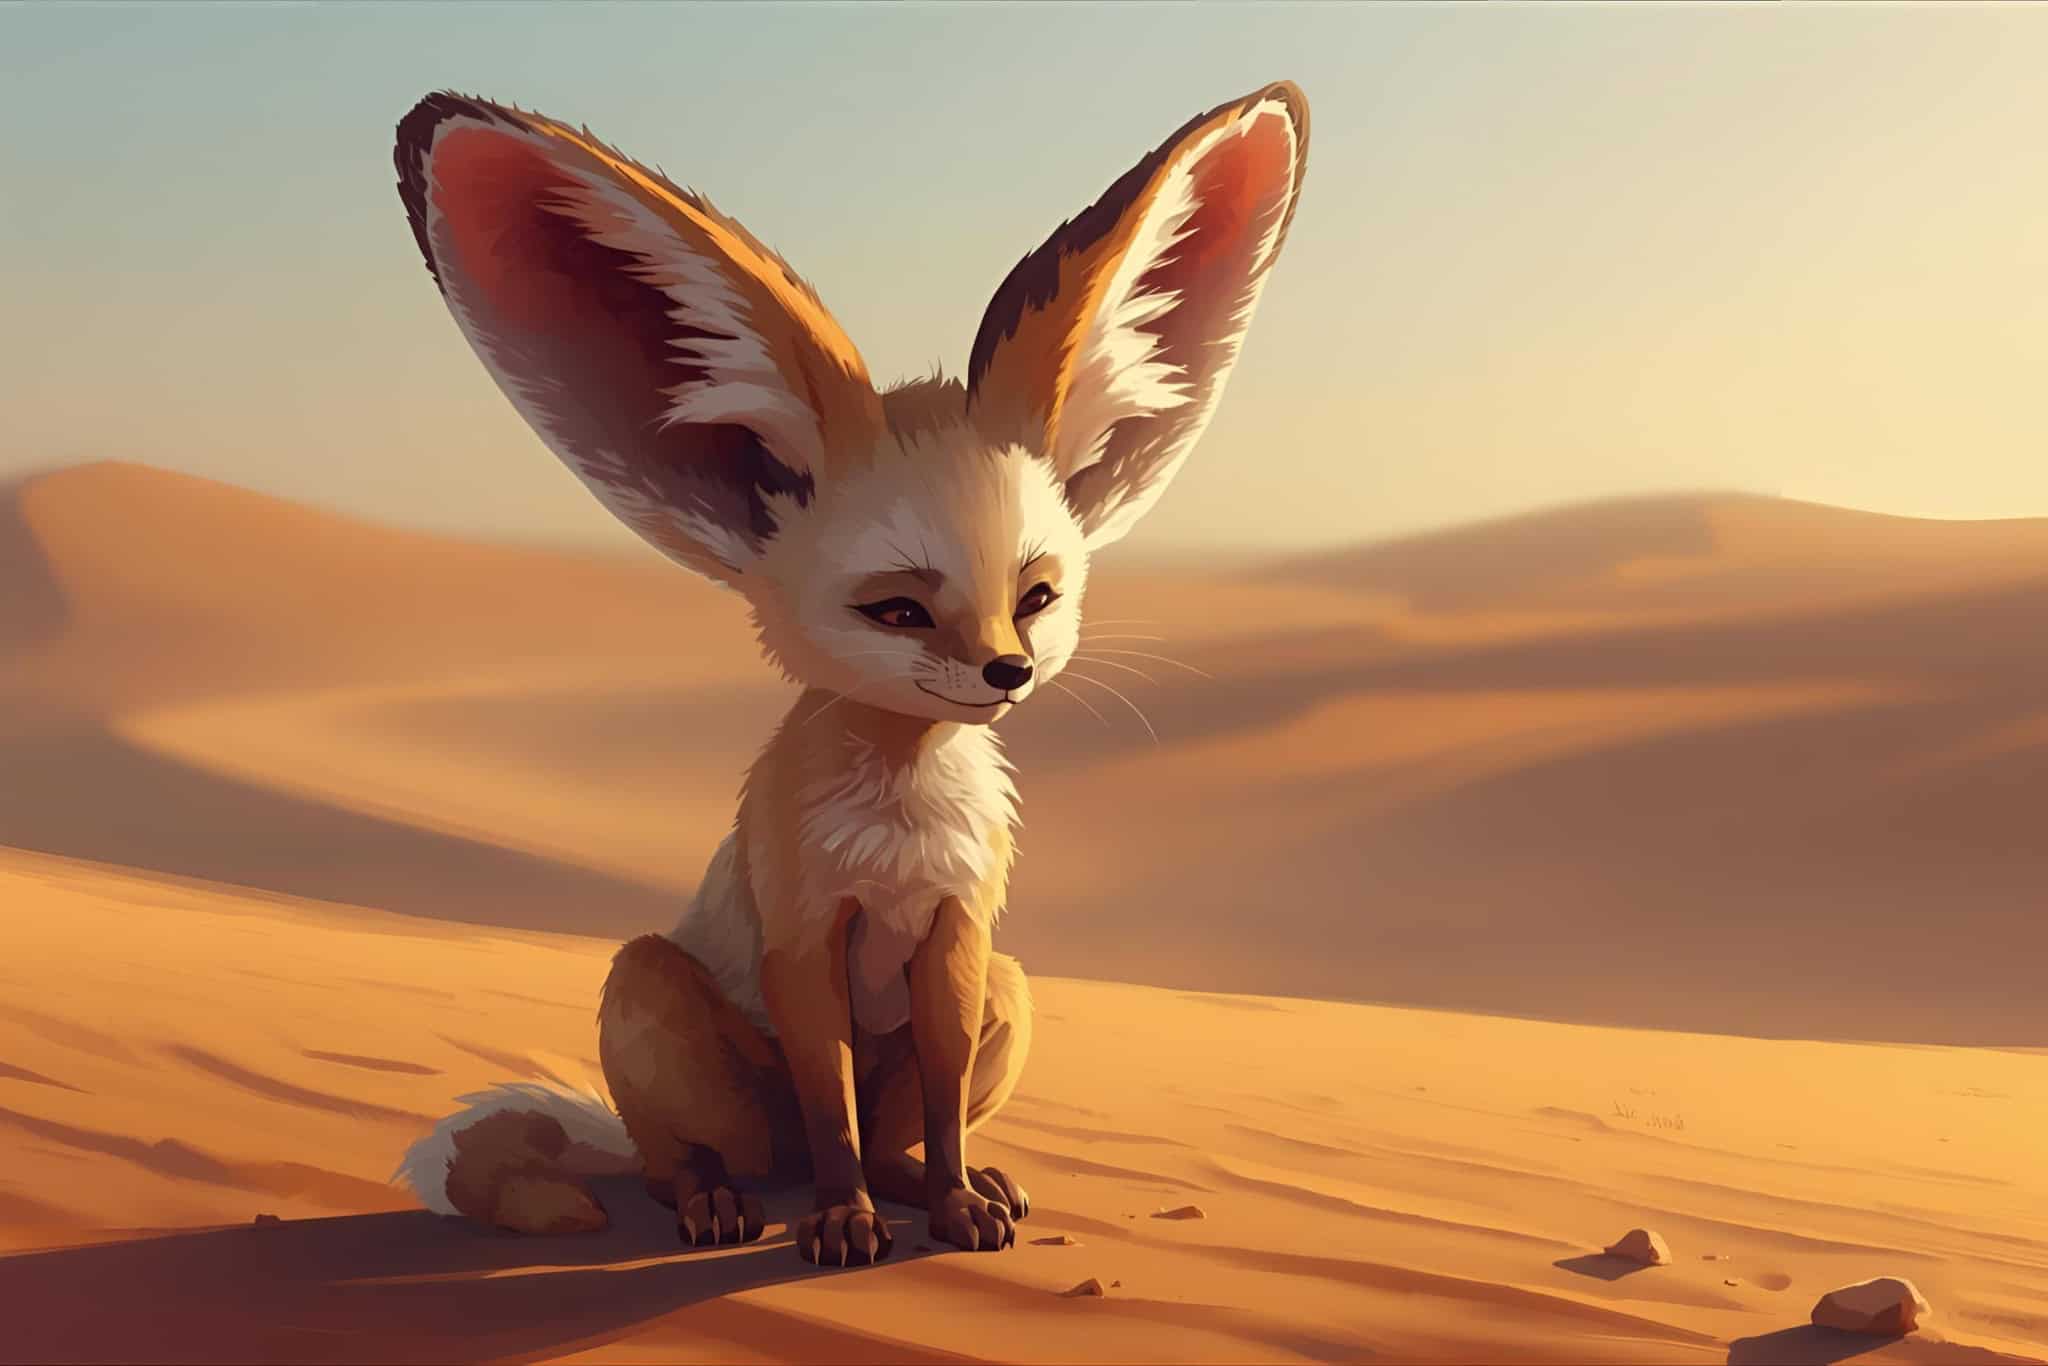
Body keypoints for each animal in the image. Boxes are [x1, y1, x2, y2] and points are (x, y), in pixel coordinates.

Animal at [389, 80, 1309, 1265]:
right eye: (898, 610)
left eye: (1036, 596)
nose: (1006, 673)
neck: (899, 823)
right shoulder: (803, 940)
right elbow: (828, 1108)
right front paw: (841, 1222)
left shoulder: (960, 934)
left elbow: (940, 1102)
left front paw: (952, 1204)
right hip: (651, 993)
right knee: (696, 1154)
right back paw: (721, 1200)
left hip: (1010, 984)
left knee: (890, 1135)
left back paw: (930, 1183)